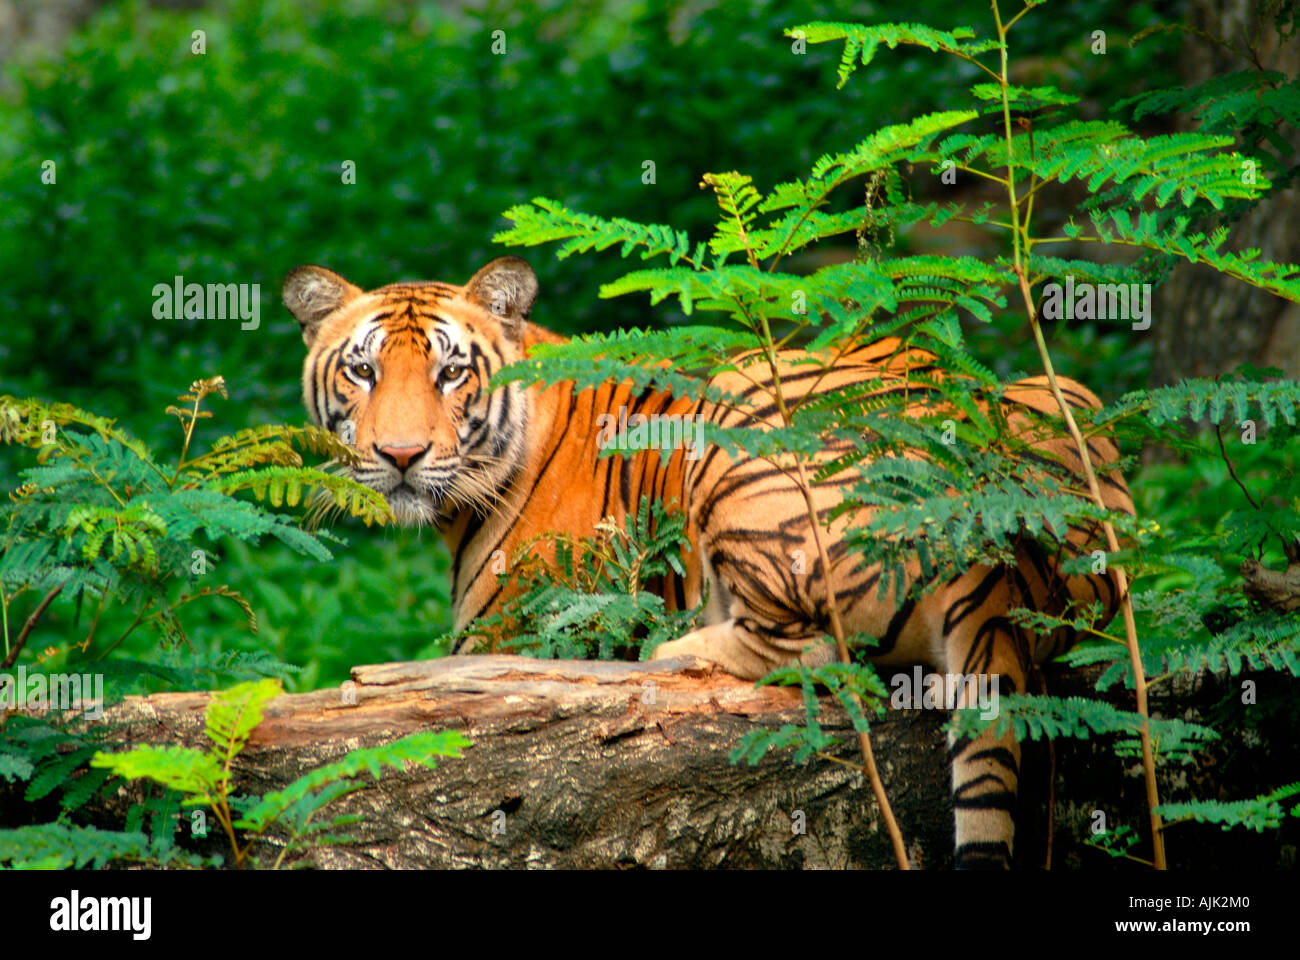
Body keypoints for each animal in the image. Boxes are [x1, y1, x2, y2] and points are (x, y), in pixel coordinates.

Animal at [283, 255, 1134, 869]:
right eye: (362, 371)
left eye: (451, 372)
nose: (400, 456)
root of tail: (991, 542)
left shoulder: (503, 632)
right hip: (1067, 397)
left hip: (741, 400)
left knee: (814, 652)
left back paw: (675, 648)